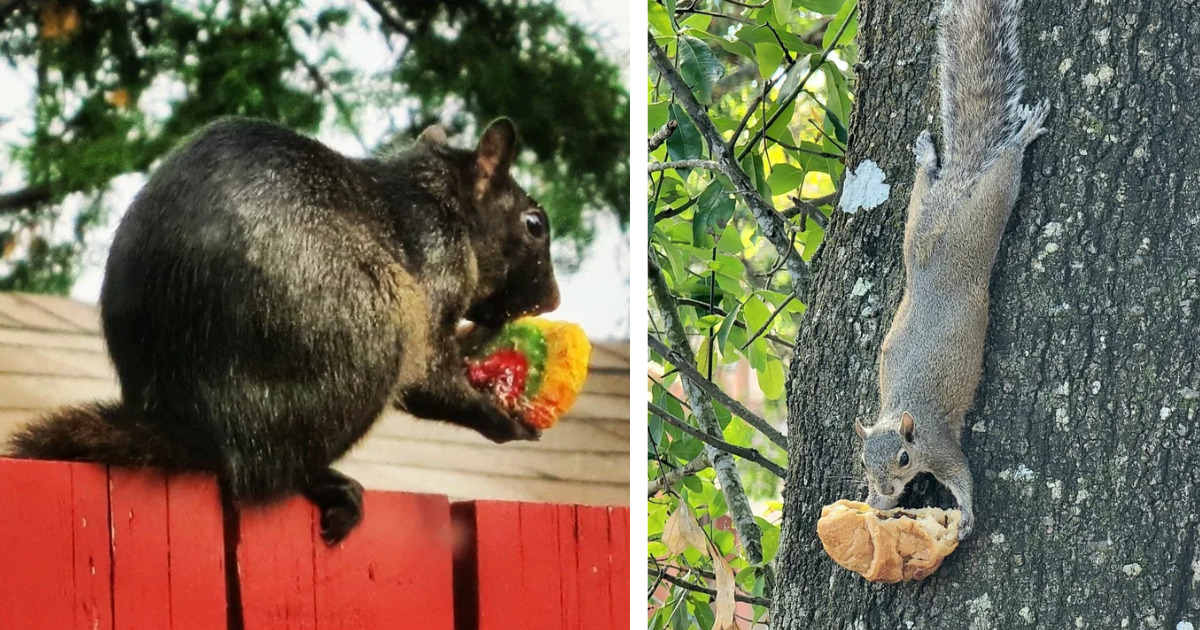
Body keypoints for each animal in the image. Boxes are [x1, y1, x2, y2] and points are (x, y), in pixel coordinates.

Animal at [5, 117, 561, 544]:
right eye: (534, 224)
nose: (553, 300)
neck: (439, 198)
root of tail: (202, 425)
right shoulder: (435, 270)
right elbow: (429, 377)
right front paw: (499, 413)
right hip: (370, 334)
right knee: (270, 471)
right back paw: (326, 483)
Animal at [854, 0, 1049, 541]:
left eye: (903, 459)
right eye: (862, 462)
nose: (883, 490)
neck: (904, 415)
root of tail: (958, 190)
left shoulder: (940, 445)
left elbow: (962, 475)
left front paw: (966, 517)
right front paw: (874, 506)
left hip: (982, 220)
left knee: (1003, 175)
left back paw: (1023, 135)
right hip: (917, 223)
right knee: (925, 187)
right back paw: (927, 155)